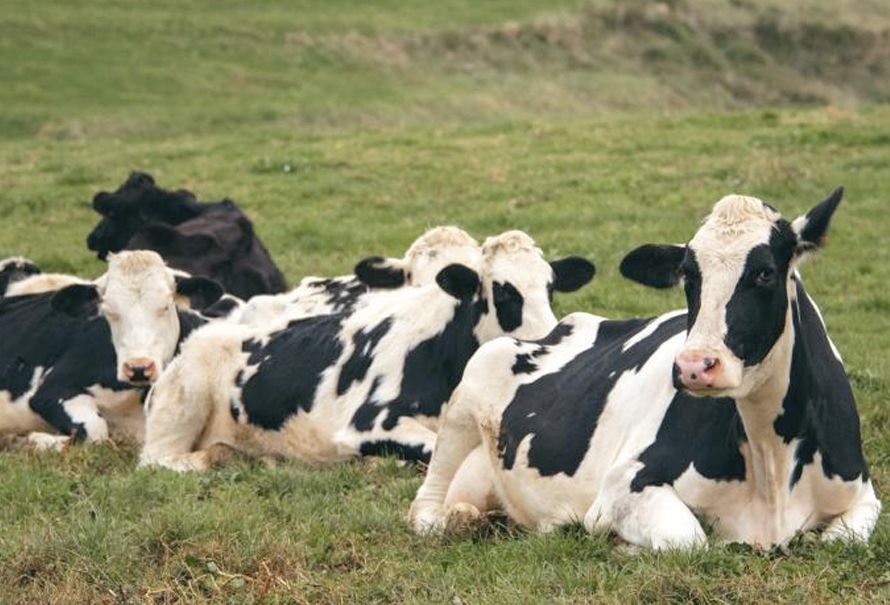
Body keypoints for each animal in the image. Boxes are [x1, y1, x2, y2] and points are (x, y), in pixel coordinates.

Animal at [0, 251, 223, 450]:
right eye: (108, 311)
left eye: (166, 306)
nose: (139, 367)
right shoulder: (51, 389)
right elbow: (95, 431)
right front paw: (29, 440)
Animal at [139, 231, 595, 471]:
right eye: (502, 292)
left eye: (551, 287)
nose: (550, 338)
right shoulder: (368, 422)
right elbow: (431, 447)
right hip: (181, 406)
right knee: (159, 460)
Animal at [410, 188, 880, 550]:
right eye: (688, 275)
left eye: (765, 273)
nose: (694, 367)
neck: (772, 461)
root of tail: (559, 327)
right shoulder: (624, 483)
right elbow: (689, 540)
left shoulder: (864, 495)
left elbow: (843, 539)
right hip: (465, 401)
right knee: (424, 508)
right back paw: (457, 519)